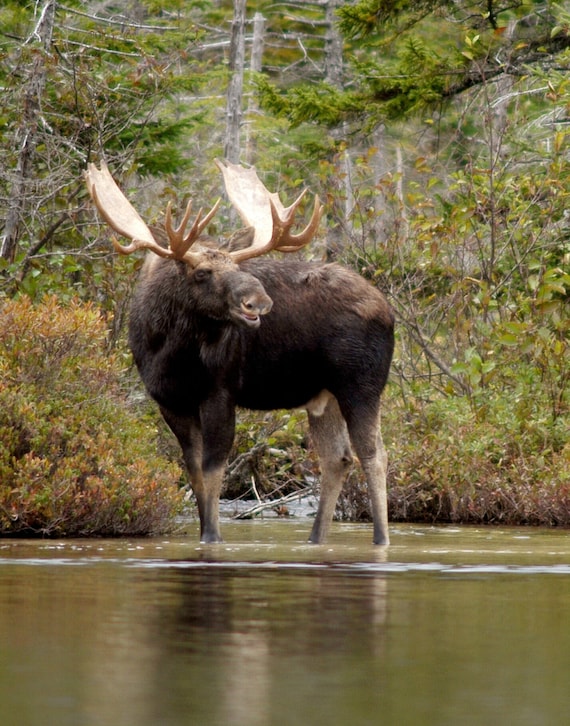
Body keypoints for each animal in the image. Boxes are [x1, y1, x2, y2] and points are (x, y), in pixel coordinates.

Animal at [85, 160, 395, 545]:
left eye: (237, 267)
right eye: (203, 272)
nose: (258, 300)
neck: (169, 354)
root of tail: (389, 312)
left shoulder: (220, 392)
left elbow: (213, 469)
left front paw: (213, 537)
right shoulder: (169, 402)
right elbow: (193, 470)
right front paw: (205, 531)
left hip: (361, 385)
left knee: (374, 454)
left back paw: (380, 539)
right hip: (323, 397)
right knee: (337, 458)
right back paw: (315, 539)